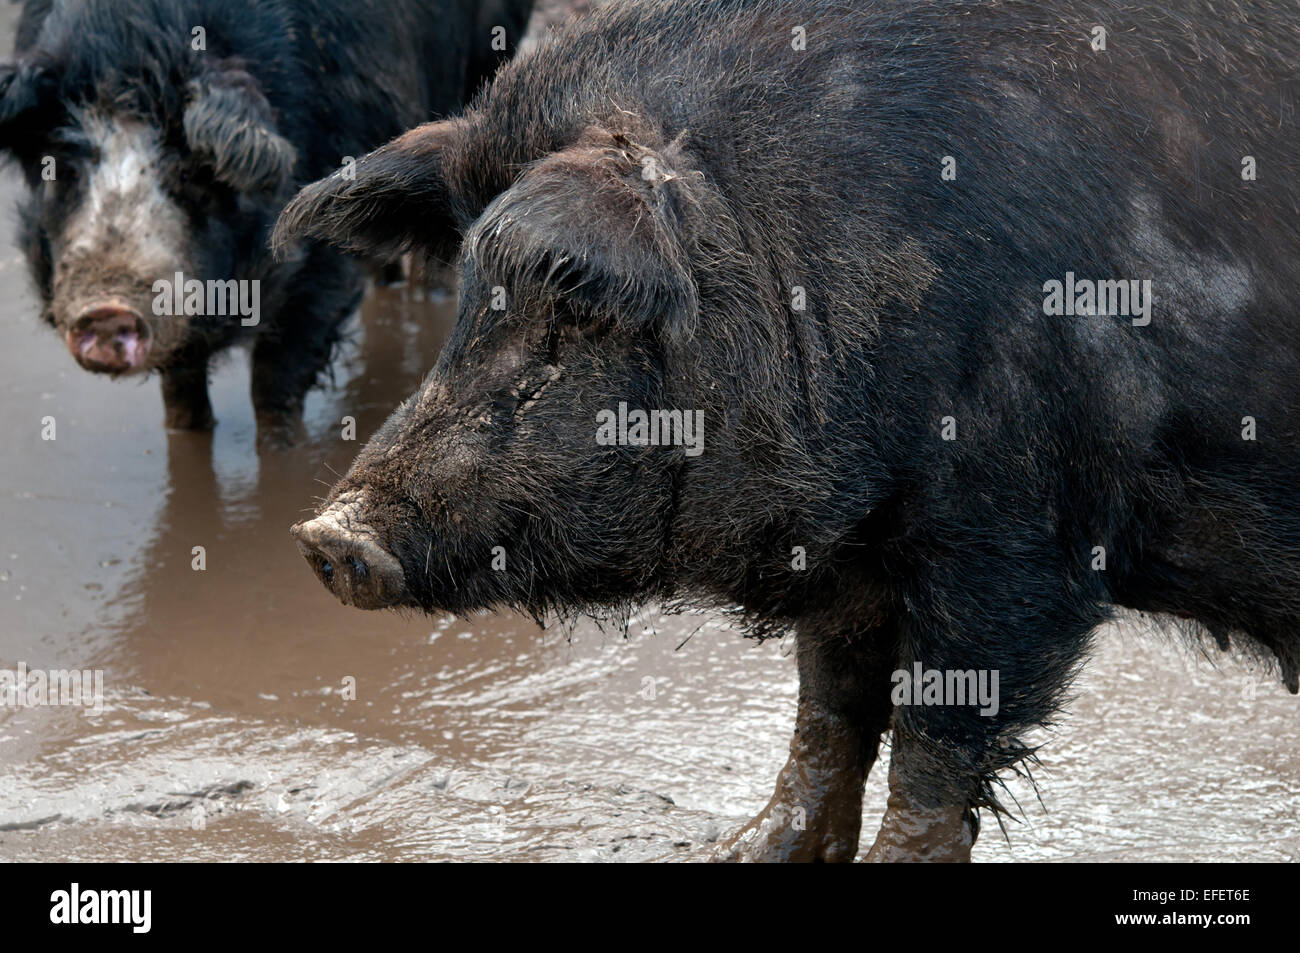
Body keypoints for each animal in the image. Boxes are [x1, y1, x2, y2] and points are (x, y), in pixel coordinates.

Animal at [0, 0, 534, 446]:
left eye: (190, 171)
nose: (106, 309)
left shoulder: (323, 259)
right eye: (64, 165)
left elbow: (274, 387)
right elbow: (181, 395)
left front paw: (281, 456)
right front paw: (188, 440)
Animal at [276, 0, 1300, 860]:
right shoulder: (853, 544)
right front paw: (745, 853)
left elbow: (937, 743)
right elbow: (828, 706)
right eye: (466, 299)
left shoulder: (1021, 539)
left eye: (572, 309)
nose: (329, 536)